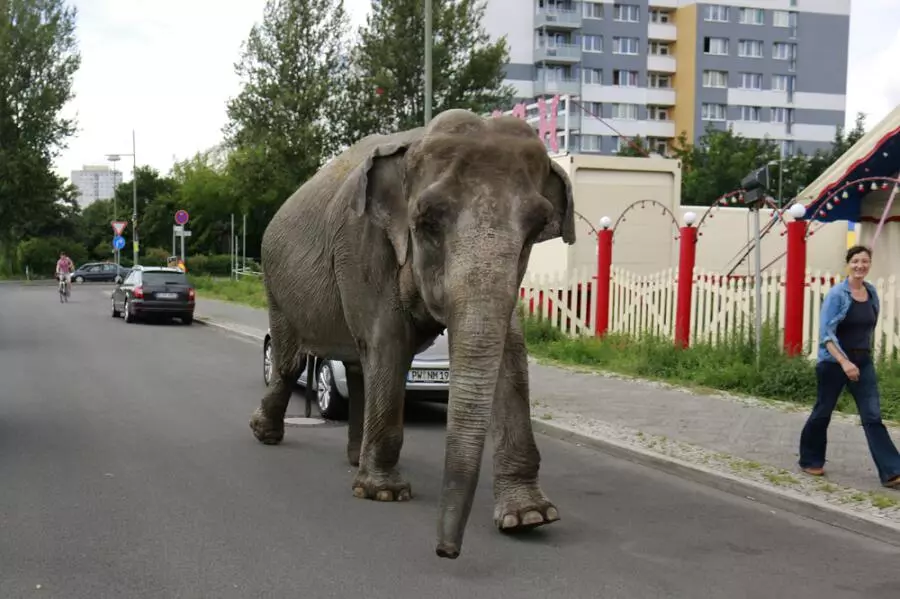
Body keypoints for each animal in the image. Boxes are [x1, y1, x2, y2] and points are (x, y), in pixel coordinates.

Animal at [251, 106, 576, 556]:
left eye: (536, 227)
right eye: (427, 221)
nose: (446, 551)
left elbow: (510, 352)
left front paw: (529, 517)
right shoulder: (361, 244)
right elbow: (388, 343)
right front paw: (383, 494)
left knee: (357, 365)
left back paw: (356, 459)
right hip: (276, 285)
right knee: (289, 361)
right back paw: (265, 434)